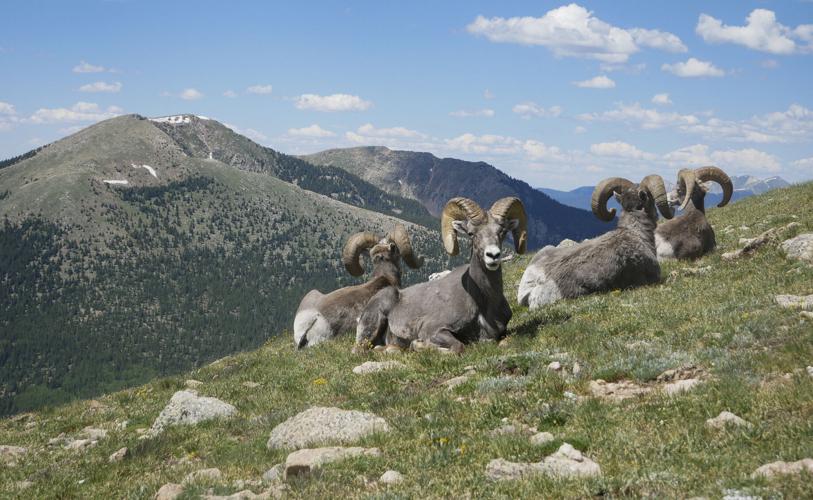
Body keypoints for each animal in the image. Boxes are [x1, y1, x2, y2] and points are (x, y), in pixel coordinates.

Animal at [355, 197, 527, 354]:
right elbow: (459, 347)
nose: (493, 255)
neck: (483, 302)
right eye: (471, 233)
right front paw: (418, 345)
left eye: (502, 232)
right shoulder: (434, 329)